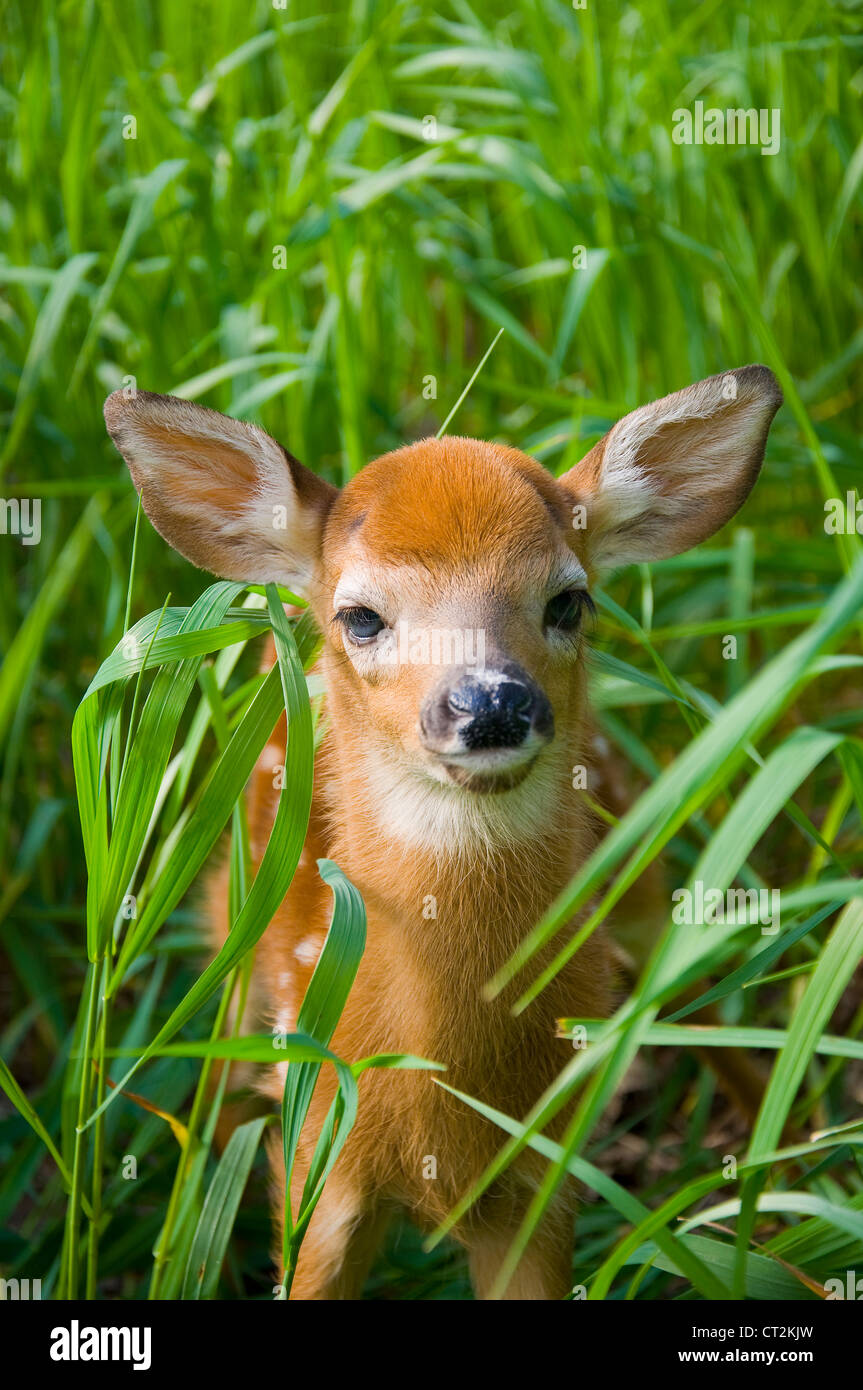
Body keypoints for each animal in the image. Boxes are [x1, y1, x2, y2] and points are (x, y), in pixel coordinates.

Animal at [104, 363, 782, 1300]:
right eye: (361, 615)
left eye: (569, 601)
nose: (489, 704)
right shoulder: (320, 1162)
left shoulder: (541, 1183)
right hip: (233, 935)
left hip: (638, 879)